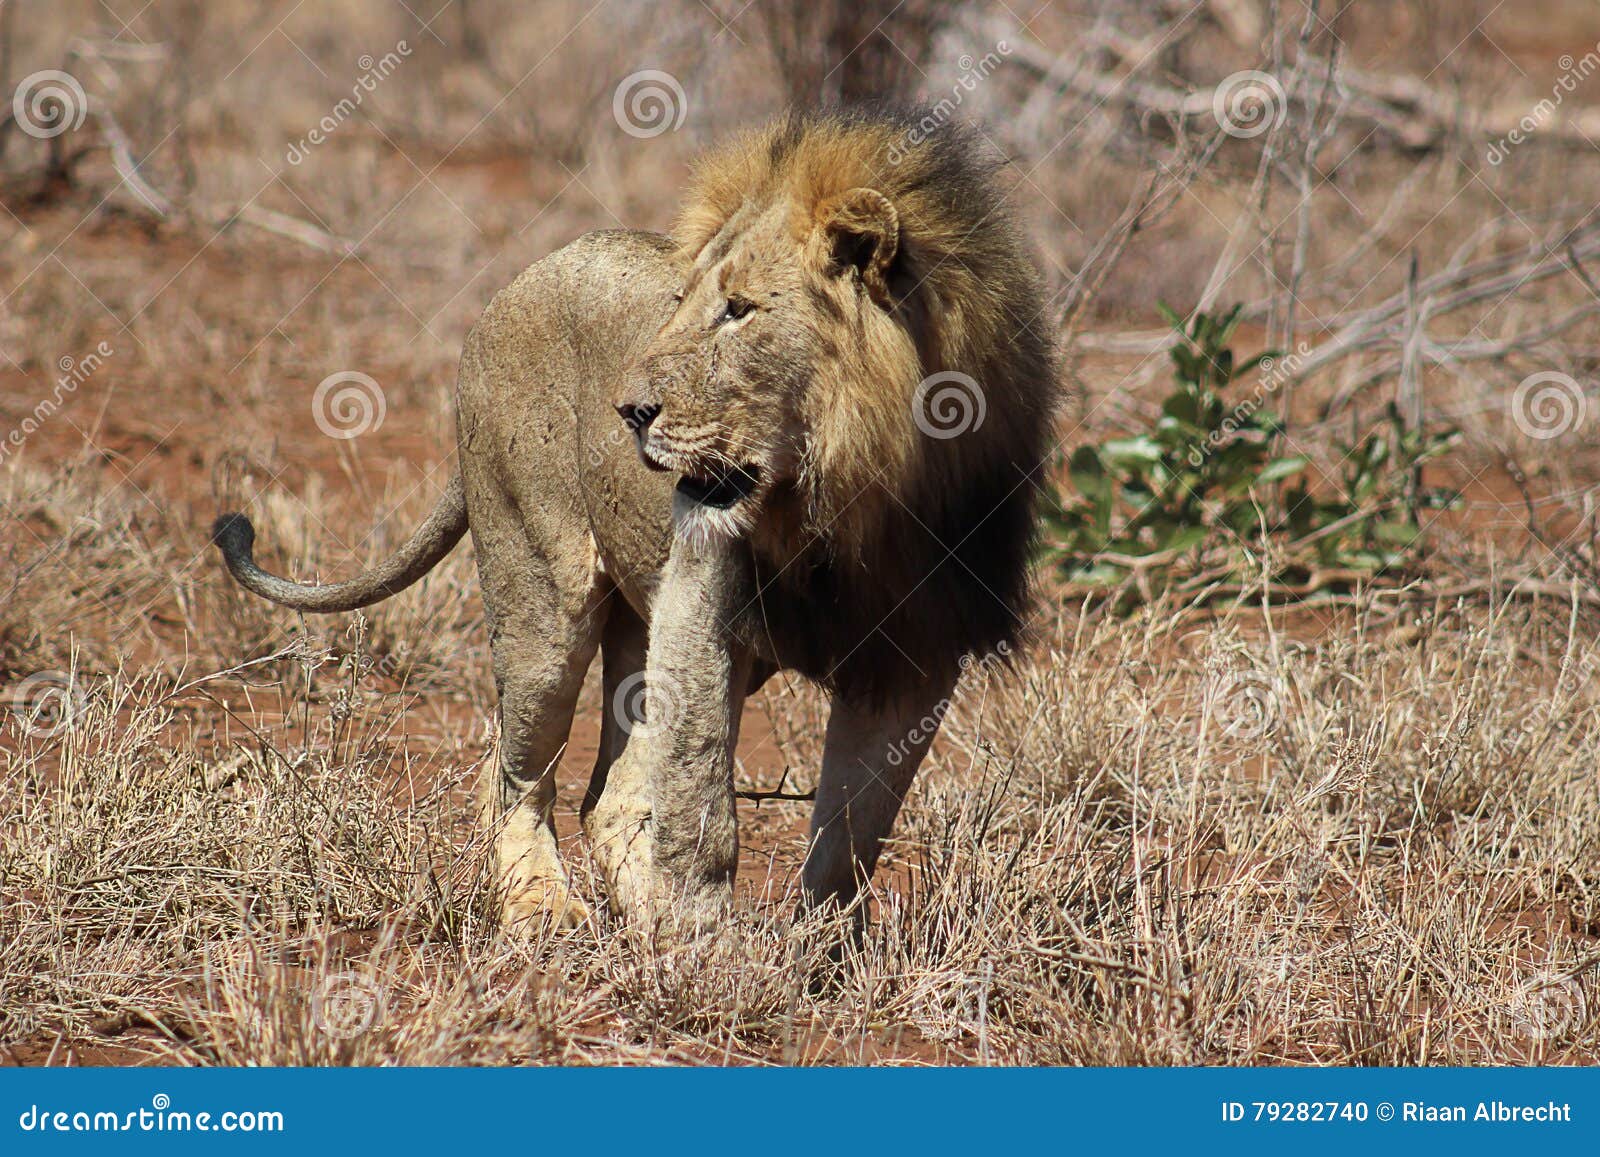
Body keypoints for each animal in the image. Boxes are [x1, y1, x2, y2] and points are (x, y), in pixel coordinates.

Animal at [211, 107, 1058, 935]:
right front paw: (706, 946)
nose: (629, 410)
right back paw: (543, 908)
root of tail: (521, 278)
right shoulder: (705, 608)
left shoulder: (916, 654)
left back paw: (640, 917)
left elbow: (854, 831)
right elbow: (703, 799)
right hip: (541, 592)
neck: (847, 501)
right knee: (515, 771)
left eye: (738, 310)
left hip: (637, 622)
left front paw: (822, 953)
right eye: (680, 305)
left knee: (606, 796)